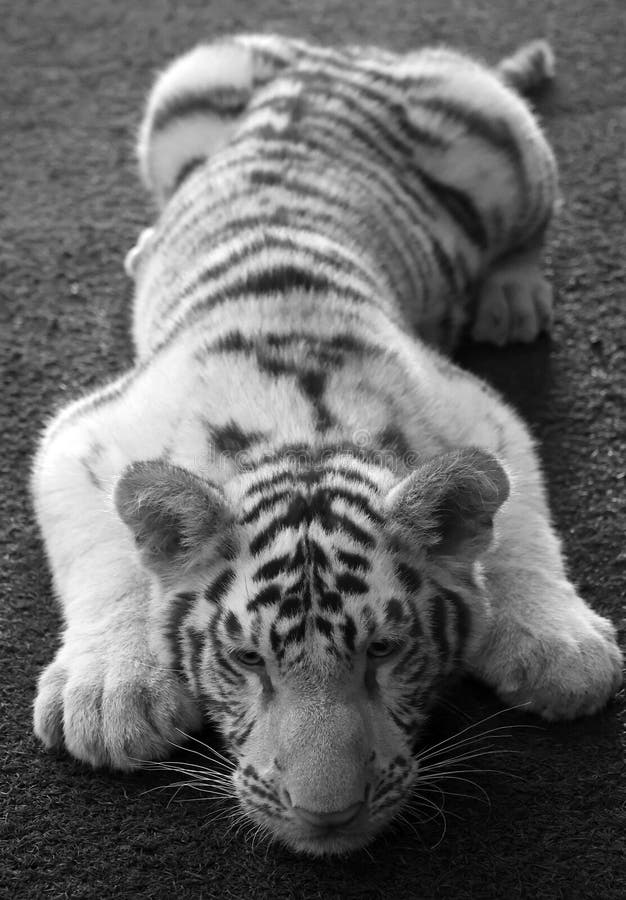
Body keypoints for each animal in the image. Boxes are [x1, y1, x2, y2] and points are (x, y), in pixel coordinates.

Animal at [32, 33, 623, 857]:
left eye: (384, 652)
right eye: (248, 661)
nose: (327, 815)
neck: (300, 430)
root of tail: (345, 51)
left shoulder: (481, 411)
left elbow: (519, 532)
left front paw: (559, 650)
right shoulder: (82, 433)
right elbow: (104, 554)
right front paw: (113, 692)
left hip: (502, 127)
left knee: (529, 231)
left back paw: (511, 298)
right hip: (182, 89)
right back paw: (143, 249)